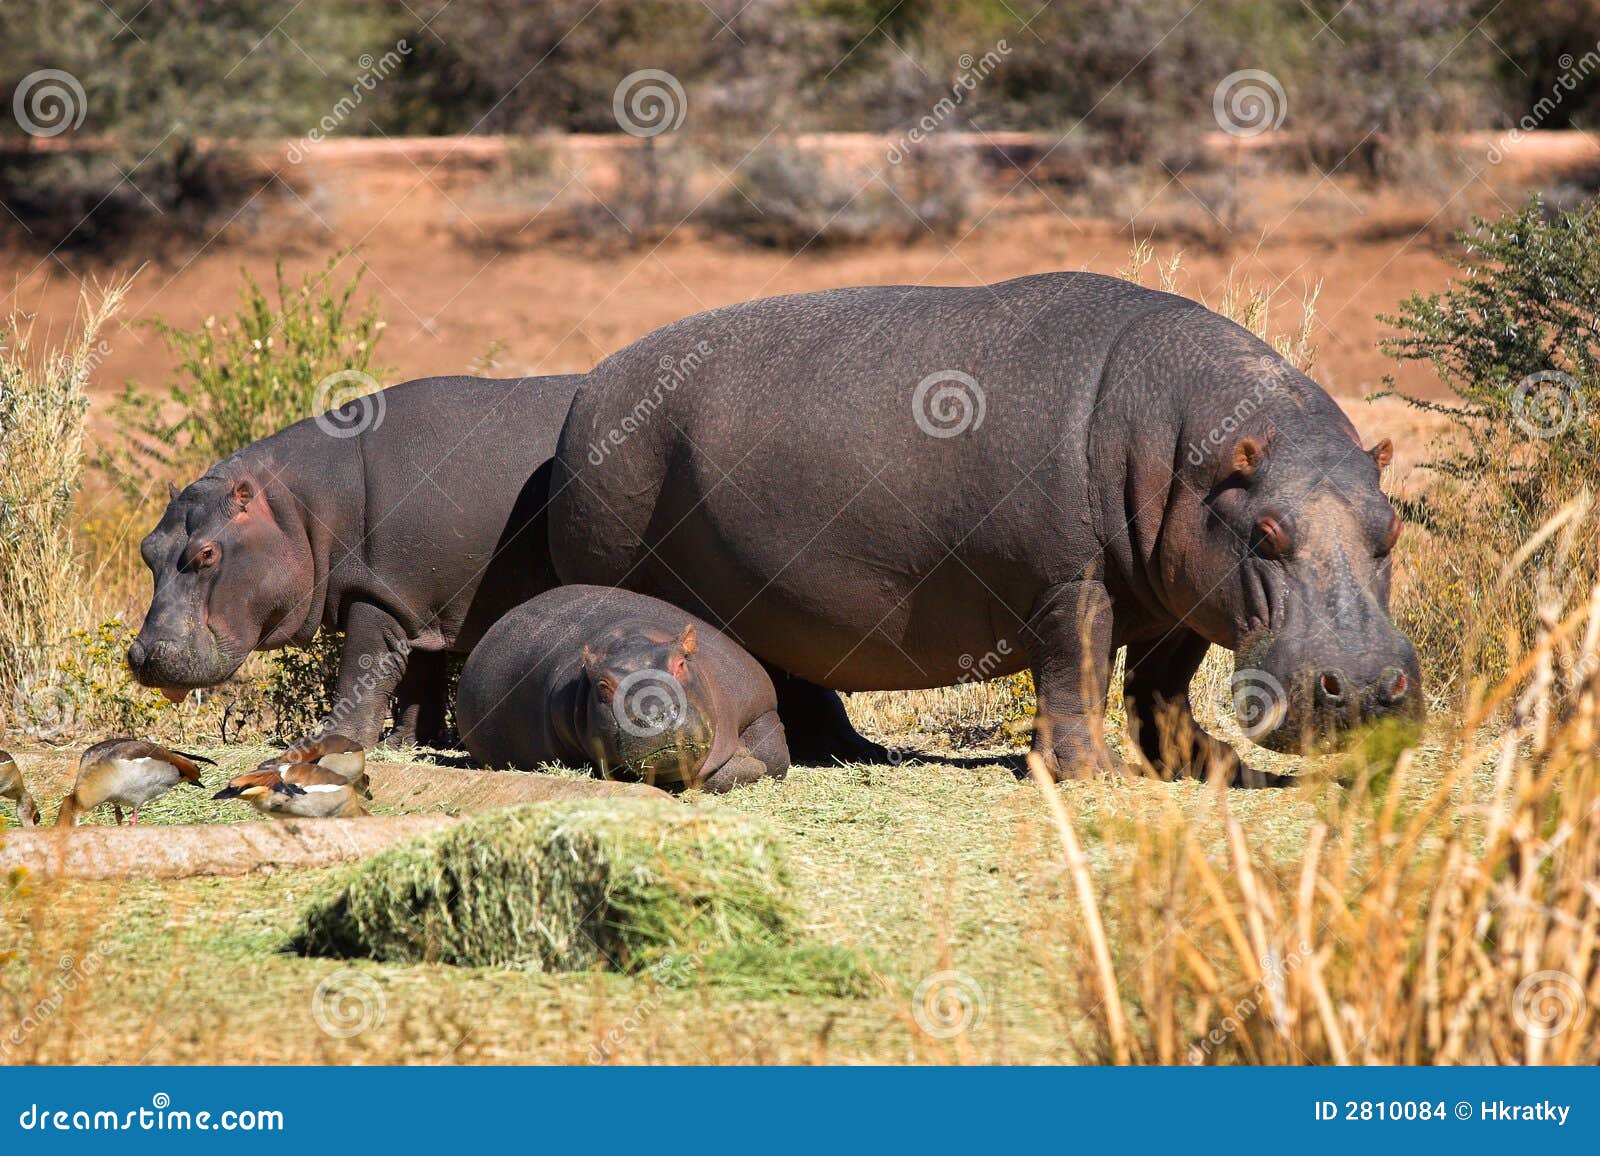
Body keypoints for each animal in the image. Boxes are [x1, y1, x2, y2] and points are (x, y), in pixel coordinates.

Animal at [128, 374, 583, 747]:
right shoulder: (412, 602)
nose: (142, 654)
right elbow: (420, 675)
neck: (295, 507)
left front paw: (330, 742)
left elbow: (362, 669)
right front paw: (403, 744)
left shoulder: (380, 594)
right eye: (147, 549)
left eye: (207, 553)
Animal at [455, 585, 789, 792]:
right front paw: (746, 762)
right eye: (603, 686)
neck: (631, 638)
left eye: (681, 663)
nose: (654, 715)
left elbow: (773, 758)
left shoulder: (761, 707)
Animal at [548, 272, 1422, 780]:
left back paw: (854, 753)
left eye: (1391, 533)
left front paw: (1206, 765)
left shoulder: (1180, 594)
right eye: (1266, 535)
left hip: (777, 602)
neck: (1191, 453)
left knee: (796, 678)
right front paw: (1093, 775)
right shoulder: (1069, 580)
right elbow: (1078, 671)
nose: (1366, 689)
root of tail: (588, 389)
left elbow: (1160, 688)